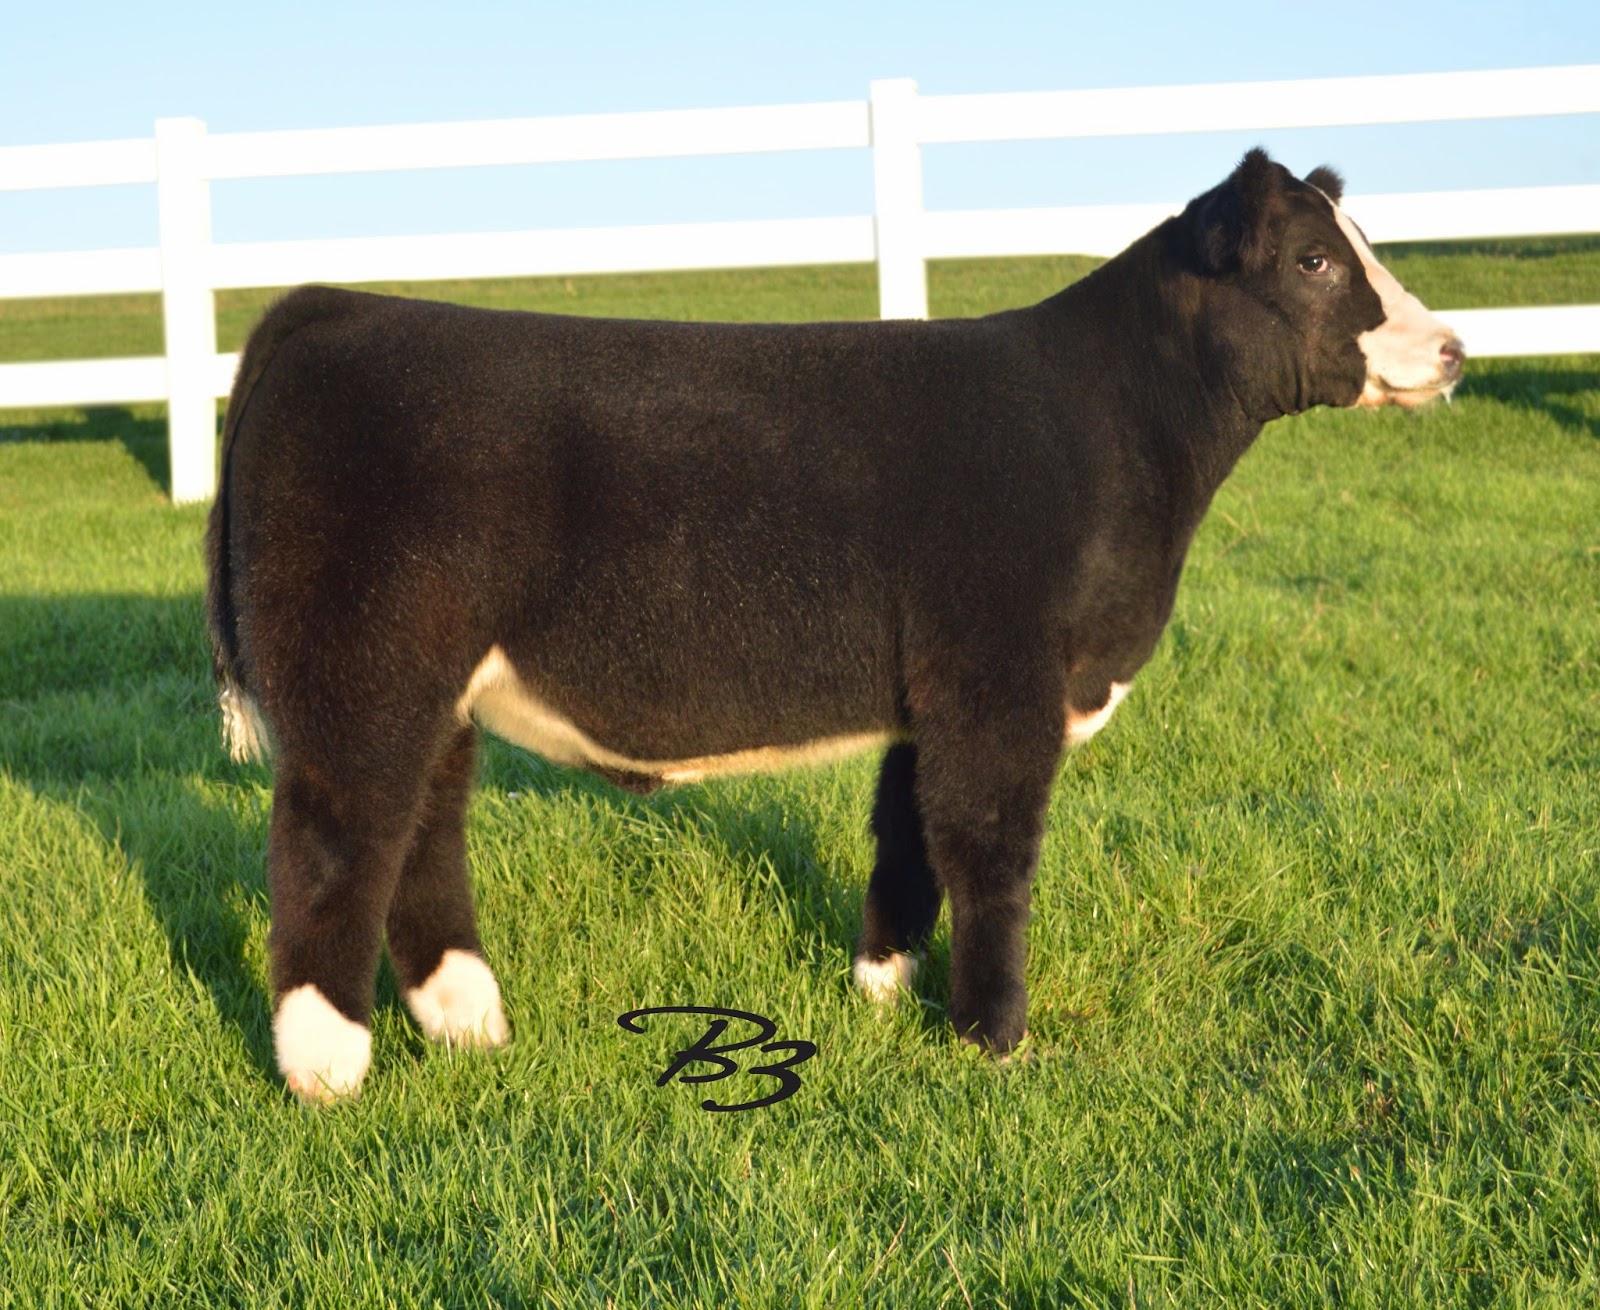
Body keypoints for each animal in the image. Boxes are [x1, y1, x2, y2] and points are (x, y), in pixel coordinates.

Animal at [205, 149, 1463, 1102]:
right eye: (1311, 259)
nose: (1452, 347)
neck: (1108, 432)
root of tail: (332, 306)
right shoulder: (1000, 682)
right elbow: (990, 849)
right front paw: (996, 1037)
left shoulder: (936, 693)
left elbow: (907, 832)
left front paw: (882, 989)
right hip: (360, 674)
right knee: (336, 841)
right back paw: (330, 1069)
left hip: (439, 687)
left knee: (424, 827)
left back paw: (472, 1024)